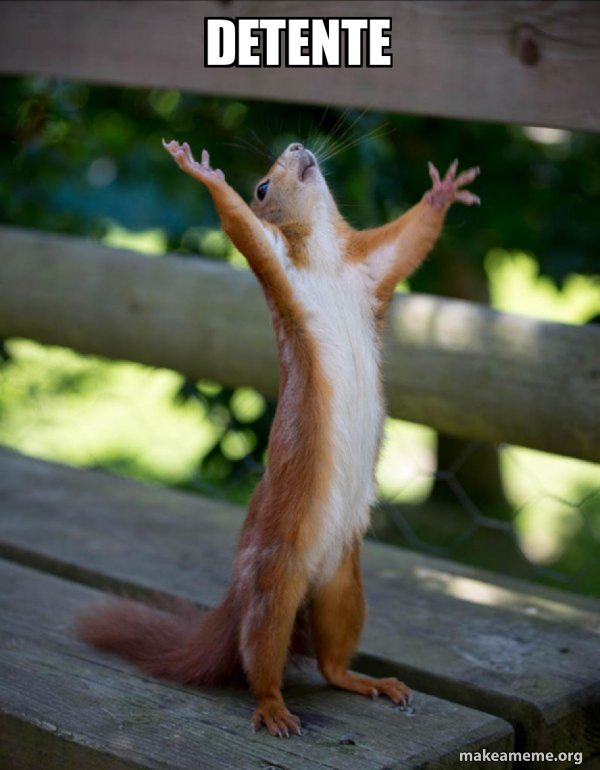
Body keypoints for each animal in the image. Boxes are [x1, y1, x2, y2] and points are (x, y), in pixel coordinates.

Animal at [77, 138, 480, 738]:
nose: (296, 147)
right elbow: (240, 226)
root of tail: (239, 595)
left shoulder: (372, 267)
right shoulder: (277, 266)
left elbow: (409, 240)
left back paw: (368, 681)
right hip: (273, 584)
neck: (327, 257)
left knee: (332, 661)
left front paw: (443, 192)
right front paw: (204, 174)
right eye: (262, 187)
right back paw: (273, 708)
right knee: (260, 658)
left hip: (344, 586)